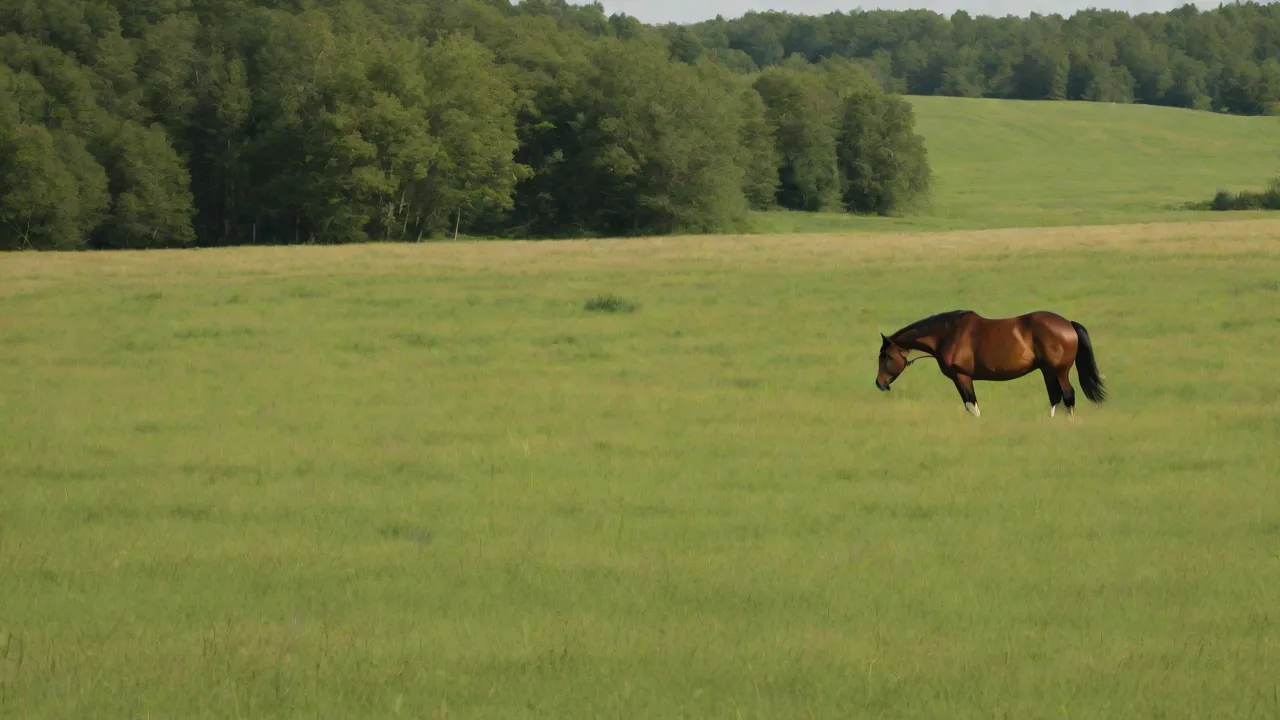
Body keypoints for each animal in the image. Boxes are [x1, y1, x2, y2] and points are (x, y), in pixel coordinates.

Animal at [874, 310, 1106, 420]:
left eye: (886, 356)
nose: (879, 384)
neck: (948, 334)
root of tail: (1068, 324)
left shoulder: (962, 377)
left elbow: (972, 405)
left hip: (1060, 372)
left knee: (1068, 395)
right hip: (1047, 371)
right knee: (1055, 397)